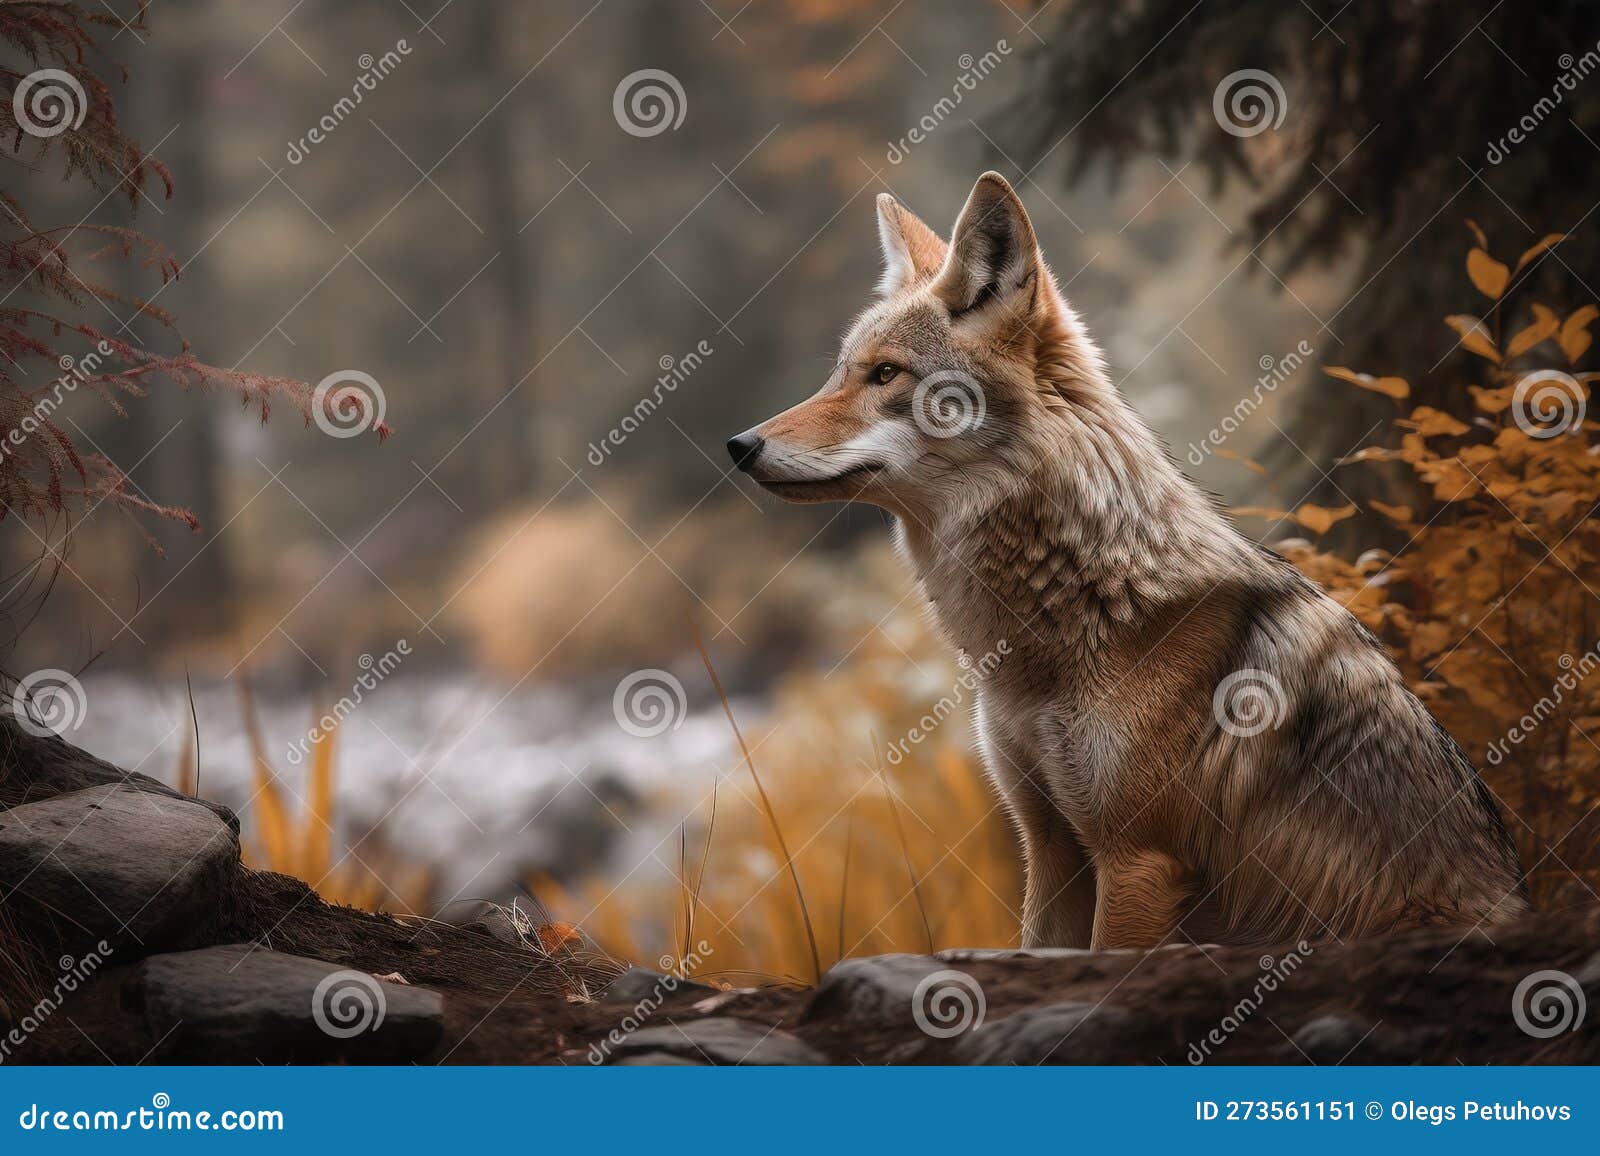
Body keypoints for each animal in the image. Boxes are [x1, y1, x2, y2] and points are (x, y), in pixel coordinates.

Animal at [727, 173, 1527, 949]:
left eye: (887, 374)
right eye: (841, 373)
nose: (739, 445)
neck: (1081, 600)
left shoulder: (1136, 860)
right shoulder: (1049, 846)